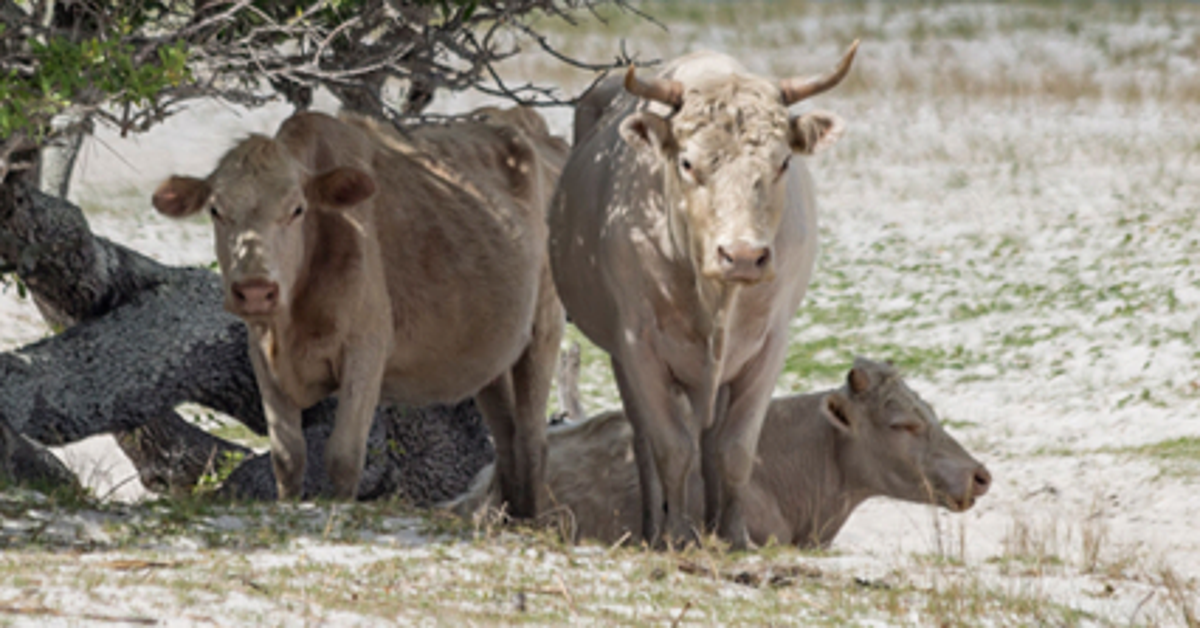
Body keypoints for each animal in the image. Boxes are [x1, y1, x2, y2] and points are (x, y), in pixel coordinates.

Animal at [151, 107, 567, 517]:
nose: (255, 291)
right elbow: (287, 457)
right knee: (508, 438)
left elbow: (344, 455)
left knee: (532, 440)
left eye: (297, 209)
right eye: (216, 210)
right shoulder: (262, 355)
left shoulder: (366, 349)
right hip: (491, 358)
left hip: (543, 329)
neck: (293, 323)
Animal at [547, 43, 859, 548]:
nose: (743, 256)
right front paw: (675, 534)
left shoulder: (769, 345)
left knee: (711, 439)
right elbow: (671, 447)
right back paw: (656, 525)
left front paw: (733, 534)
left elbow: (736, 449)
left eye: (783, 163)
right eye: (688, 163)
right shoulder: (639, 345)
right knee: (646, 440)